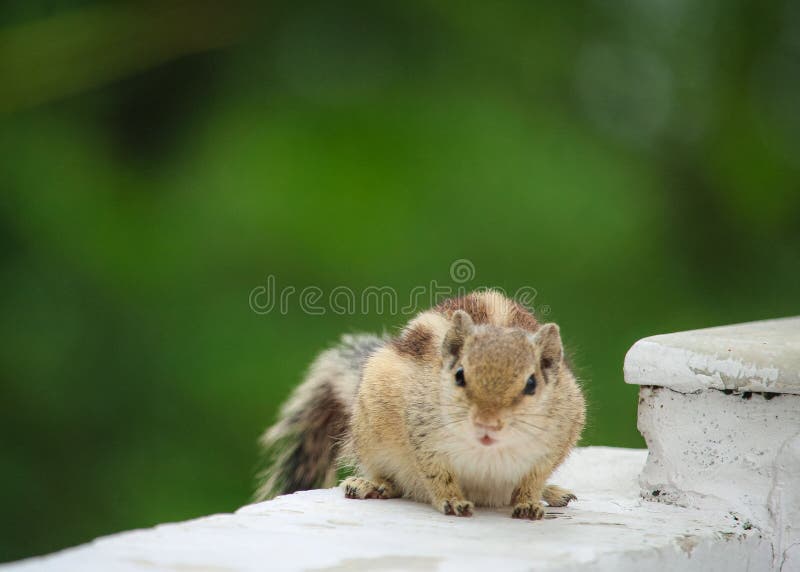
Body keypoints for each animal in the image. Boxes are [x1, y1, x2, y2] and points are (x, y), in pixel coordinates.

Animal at [255, 290, 586, 519]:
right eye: (460, 375)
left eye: (531, 384)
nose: (487, 424)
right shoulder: (423, 433)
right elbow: (437, 474)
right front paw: (452, 500)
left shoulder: (557, 440)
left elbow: (533, 478)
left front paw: (529, 501)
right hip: (370, 433)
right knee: (384, 473)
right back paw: (372, 485)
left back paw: (552, 492)